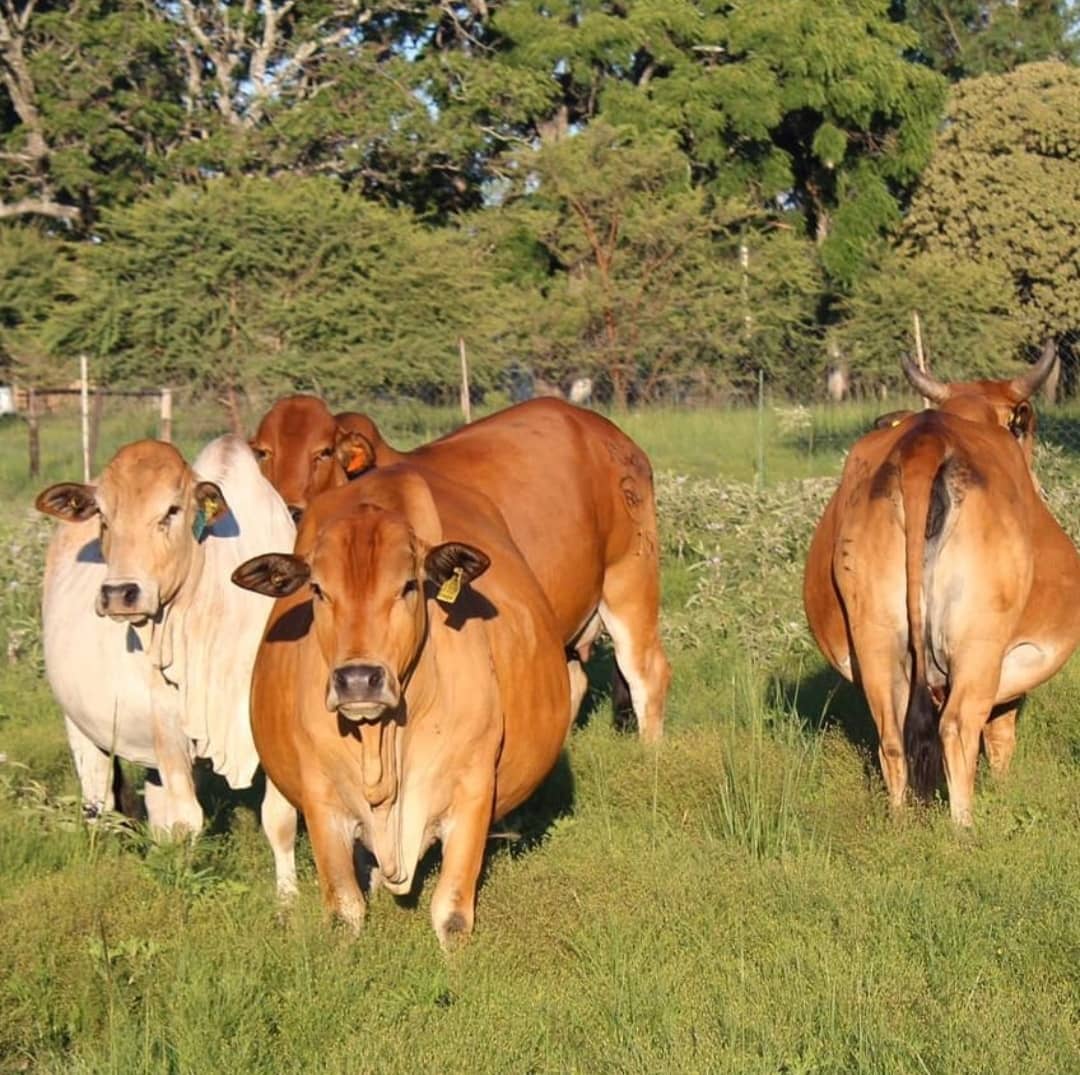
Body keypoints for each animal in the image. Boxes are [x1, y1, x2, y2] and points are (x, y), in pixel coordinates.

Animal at [36, 436, 299, 895]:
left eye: (172, 510)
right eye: (102, 514)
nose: (119, 593)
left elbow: (279, 820)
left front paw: (289, 900)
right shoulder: (168, 727)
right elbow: (187, 821)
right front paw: (181, 890)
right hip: (80, 726)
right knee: (98, 805)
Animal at [231, 463, 572, 946]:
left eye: (409, 585)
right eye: (317, 590)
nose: (358, 680)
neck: (383, 740)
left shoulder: (472, 793)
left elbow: (451, 915)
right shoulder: (321, 799)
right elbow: (345, 912)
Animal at [250, 394, 670, 742]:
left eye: (323, 452)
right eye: (263, 453)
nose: (288, 508)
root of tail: (616, 439)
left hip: (629, 577)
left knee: (647, 674)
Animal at [804, 343, 1080, 825]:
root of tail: (926, 440)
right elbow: (1001, 735)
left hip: (875, 635)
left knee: (892, 737)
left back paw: (899, 824)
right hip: (979, 640)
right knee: (957, 727)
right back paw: (964, 827)